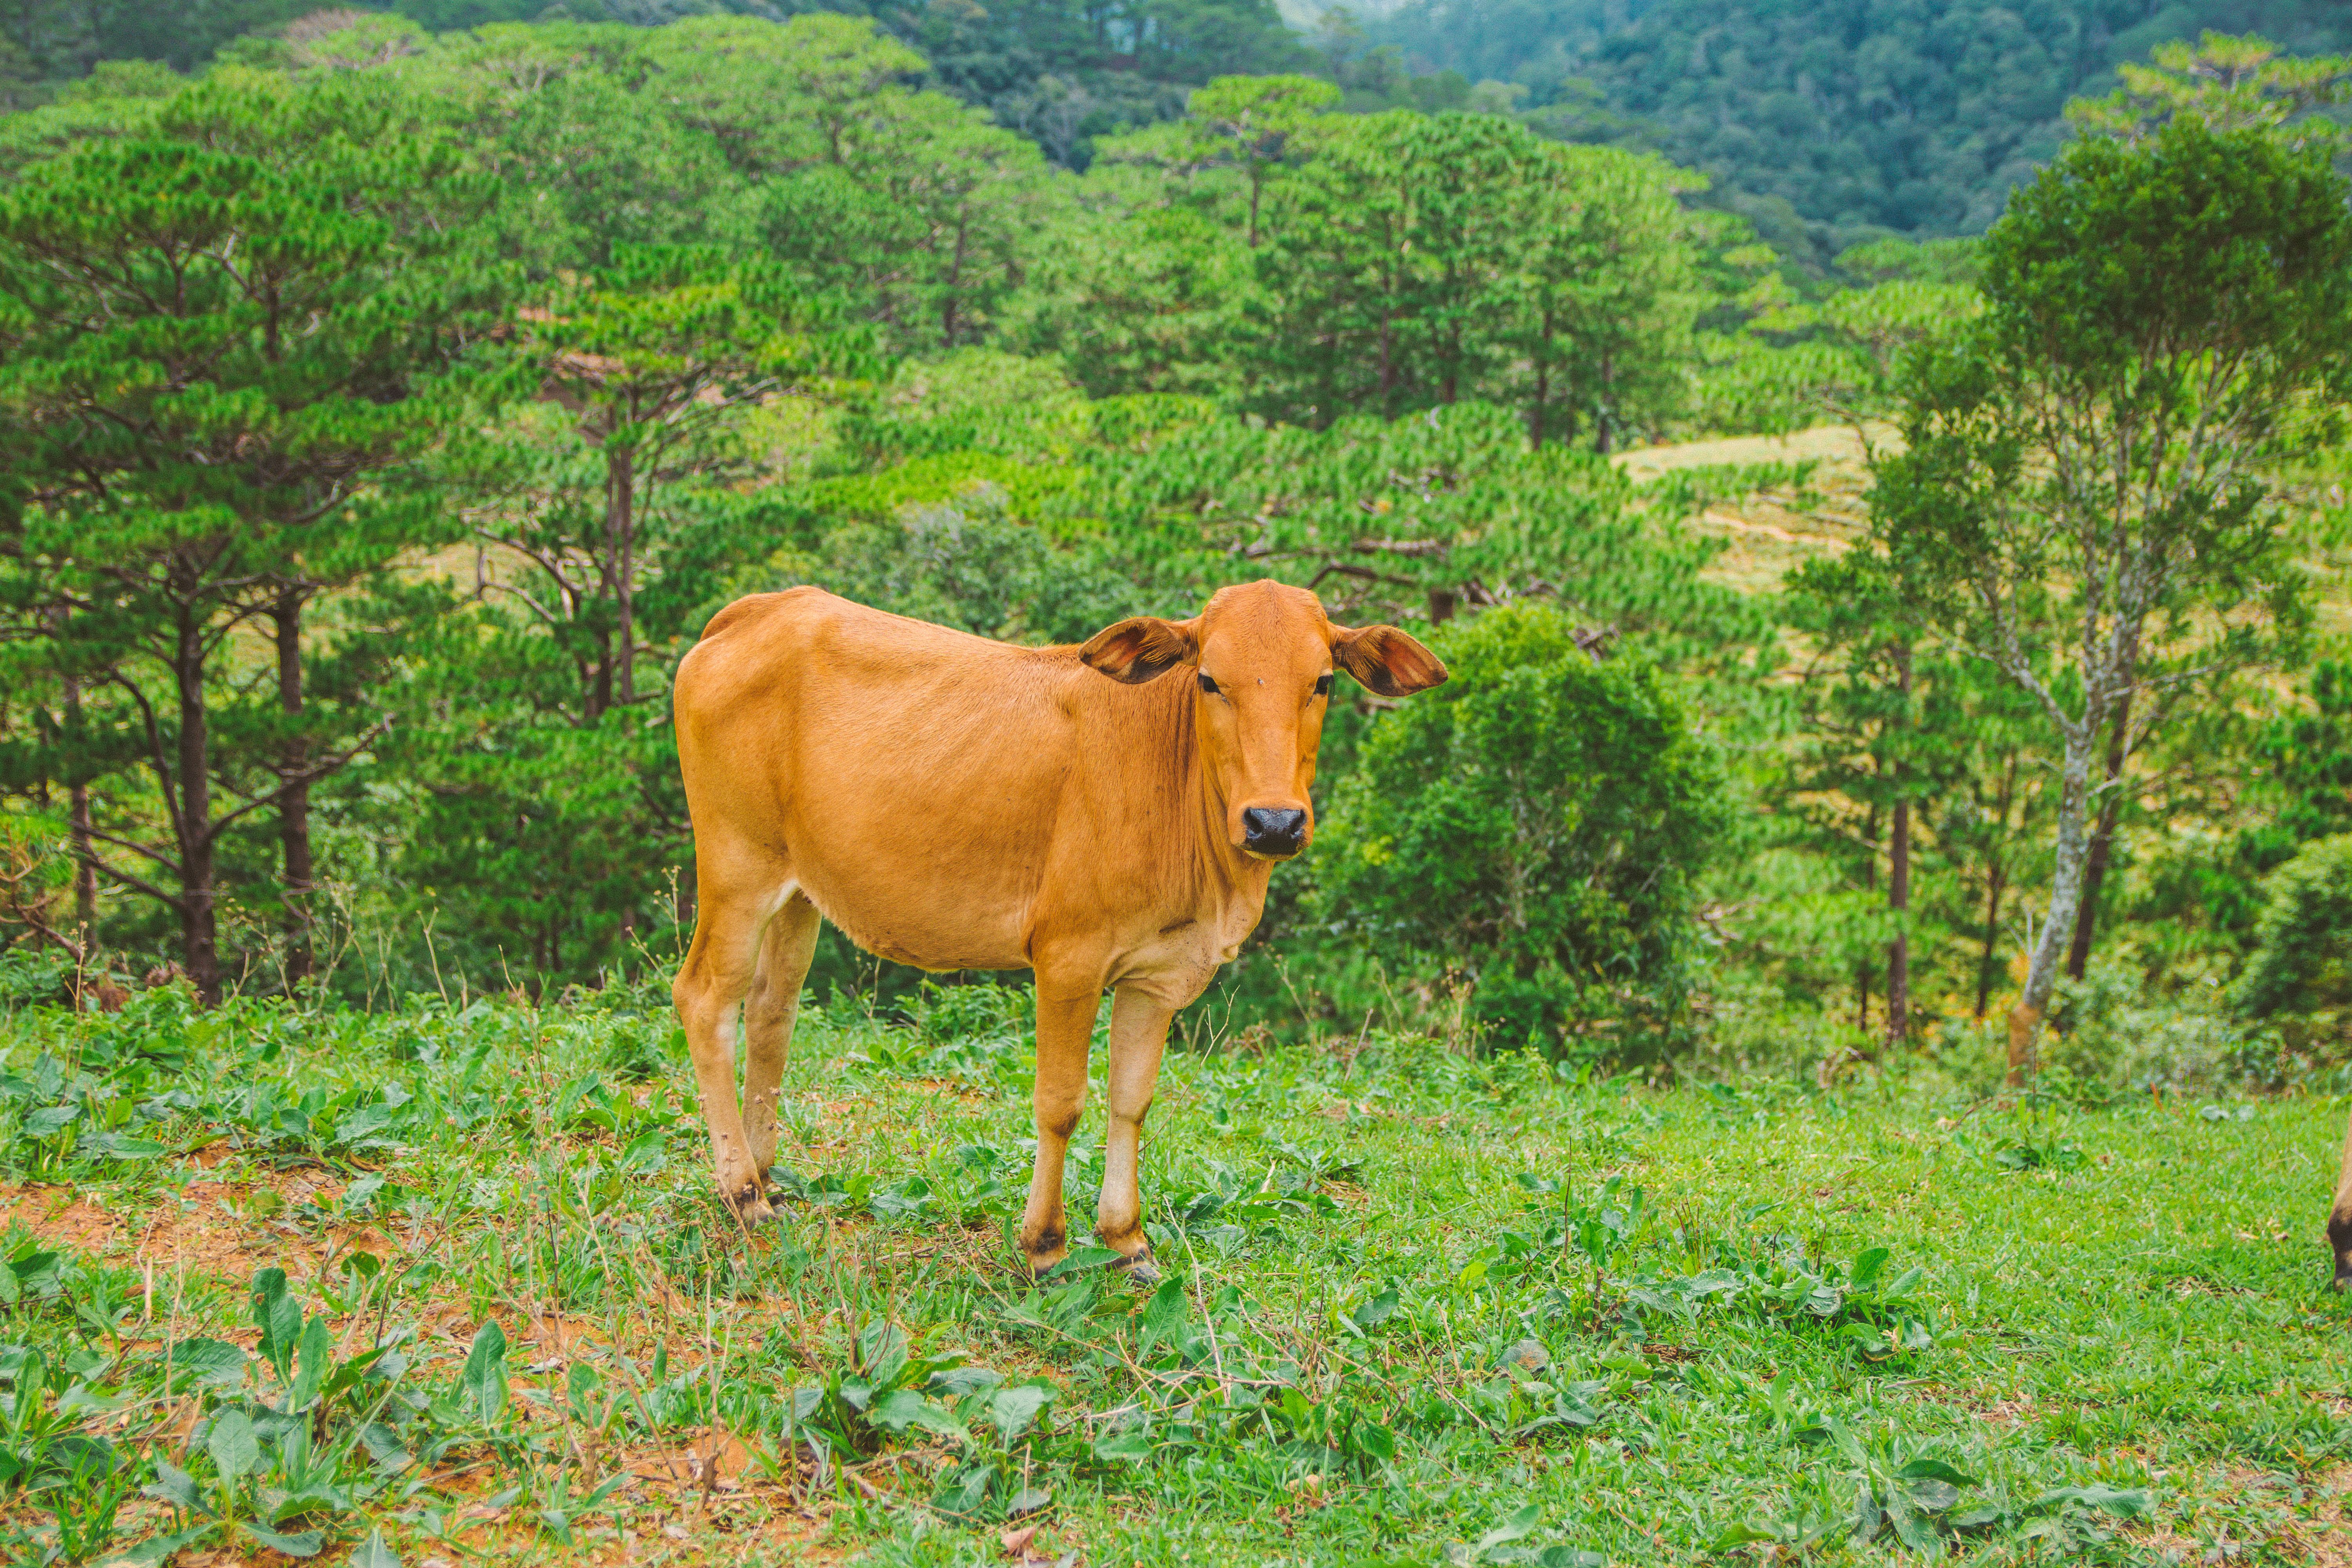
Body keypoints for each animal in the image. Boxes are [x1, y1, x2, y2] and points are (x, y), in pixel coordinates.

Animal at [669, 580, 1447, 1279]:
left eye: (1322, 682)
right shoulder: (1069, 961)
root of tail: (759, 609)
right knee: (708, 999)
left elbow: (1132, 1101)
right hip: (738, 866)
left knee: (773, 1011)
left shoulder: (1159, 975)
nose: (1274, 822)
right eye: (1209, 680)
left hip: (799, 892)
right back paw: (742, 1191)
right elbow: (1061, 1104)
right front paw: (1045, 1243)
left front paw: (1127, 1239)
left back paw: (768, 1174)